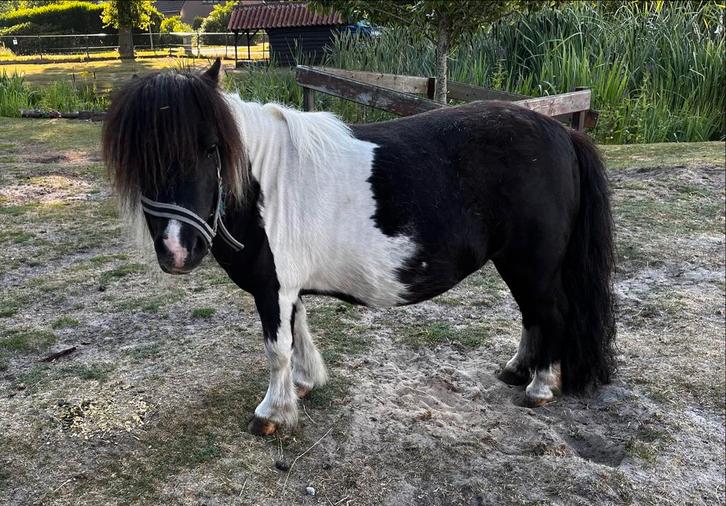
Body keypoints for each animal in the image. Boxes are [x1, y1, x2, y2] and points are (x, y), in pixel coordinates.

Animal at [101, 59, 616, 436]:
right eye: (141, 158)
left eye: (211, 148)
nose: (176, 251)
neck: (265, 184)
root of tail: (563, 133)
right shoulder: (286, 287)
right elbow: (299, 334)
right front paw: (304, 386)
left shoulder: (272, 289)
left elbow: (277, 348)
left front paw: (271, 414)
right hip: (519, 263)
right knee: (533, 316)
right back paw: (516, 370)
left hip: (533, 263)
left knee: (550, 315)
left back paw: (540, 386)